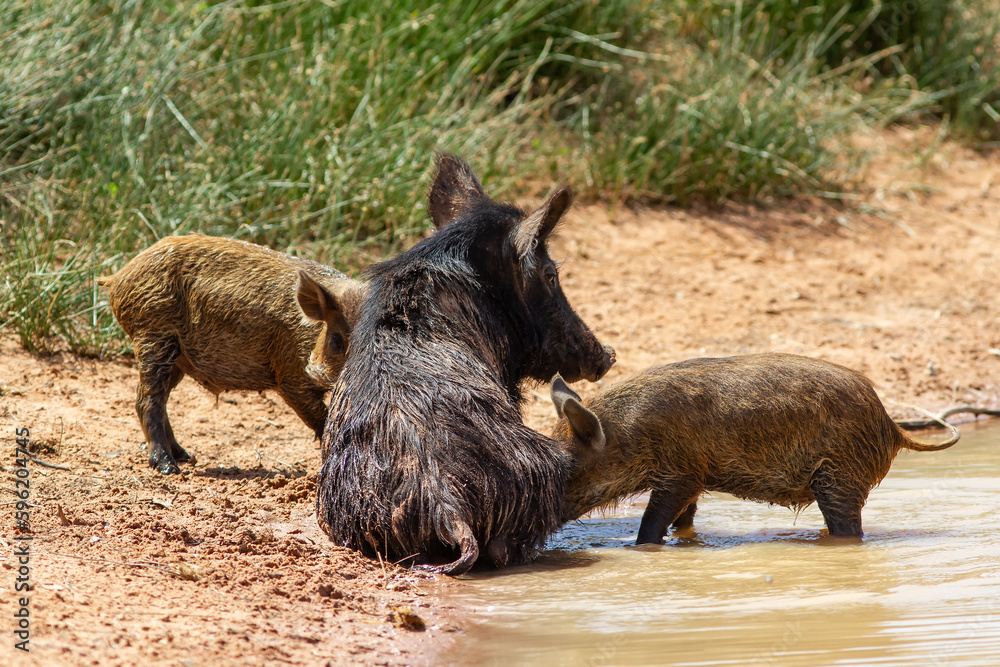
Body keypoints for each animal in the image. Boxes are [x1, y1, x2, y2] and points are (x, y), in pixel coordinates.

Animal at [101, 234, 366, 474]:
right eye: (336, 341)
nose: (317, 371)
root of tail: (119, 276)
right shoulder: (290, 376)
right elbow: (323, 421)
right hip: (152, 332)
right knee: (146, 400)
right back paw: (169, 468)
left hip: (176, 356)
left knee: (158, 398)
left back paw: (185, 456)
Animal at [551, 353, 960, 541]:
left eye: (570, 467)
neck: (629, 433)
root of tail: (891, 424)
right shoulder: (691, 477)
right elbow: (684, 518)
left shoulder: (681, 474)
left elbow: (652, 523)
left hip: (840, 477)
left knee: (848, 530)